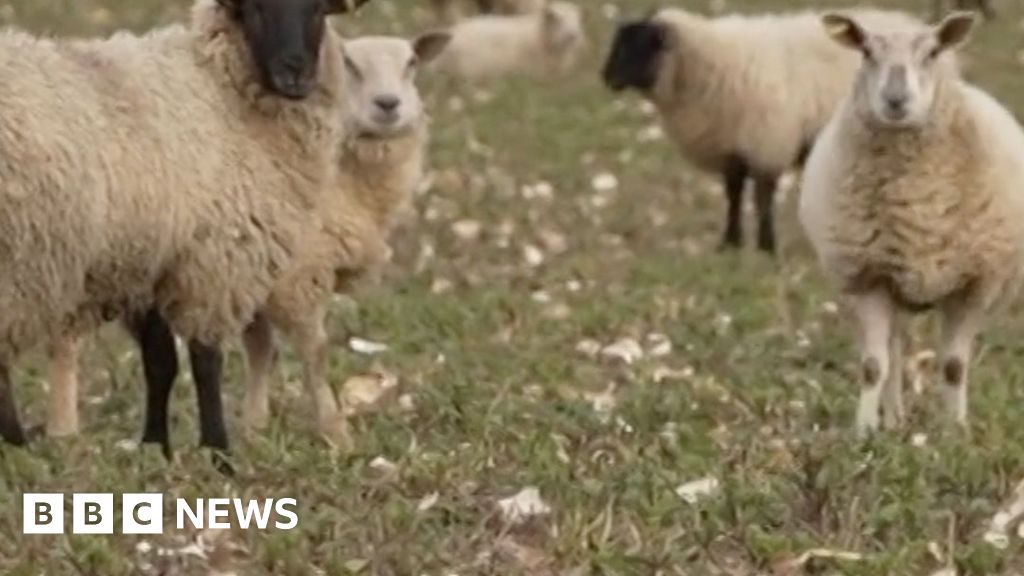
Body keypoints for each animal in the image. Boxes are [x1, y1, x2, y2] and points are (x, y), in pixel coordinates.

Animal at [4, 0, 369, 452]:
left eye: (319, 9)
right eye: (255, 9)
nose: (295, 73)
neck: (218, 87)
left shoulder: (148, 260)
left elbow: (160, 360)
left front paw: (155, 447)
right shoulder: (215, 257)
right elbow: (205, 358)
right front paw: (218, 449)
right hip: (22, 256)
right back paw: (15, 445)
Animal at [602, 7, 922, 254]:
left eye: (639, 46)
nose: (606, 78)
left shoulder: (767, 143)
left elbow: (762, 199)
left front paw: (766, 247)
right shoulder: (730, 146)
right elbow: (733, 195)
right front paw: (730, 243)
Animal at [799, 12, 1024, 434]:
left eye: (932, 53)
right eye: (866, 52)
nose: (895, 100)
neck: (919, 203)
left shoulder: (974, 285)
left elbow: (954, 366)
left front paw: (955, 431)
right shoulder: (870, 277)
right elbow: (873, 366)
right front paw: (864, 431)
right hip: (892, 285)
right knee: (893, 351)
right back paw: (892, 420)